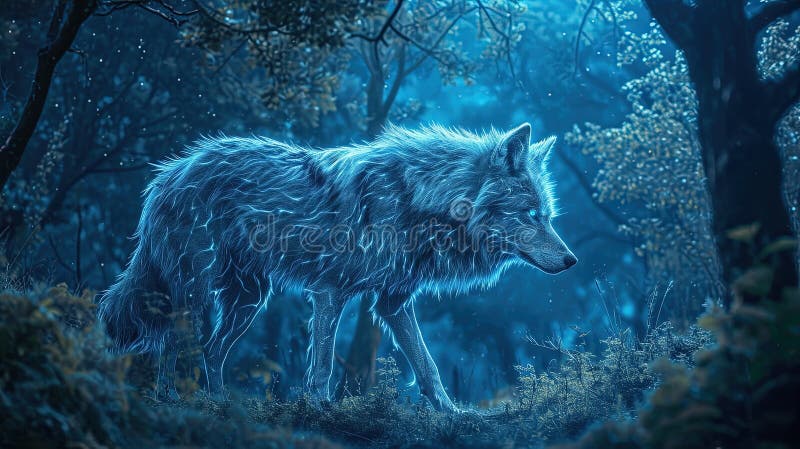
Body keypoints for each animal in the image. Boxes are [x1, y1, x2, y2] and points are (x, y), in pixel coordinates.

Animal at [97, 122, 576, 412]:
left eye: (550, 216)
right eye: (531, 215)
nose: (572, 260)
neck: (420, 199)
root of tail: (166, 174)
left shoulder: (393, 303)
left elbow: (428, 367)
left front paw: (455, 414)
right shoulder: (330, 290)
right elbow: (323, 365)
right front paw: (318, 409)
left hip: (249, 299)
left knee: (212, 351)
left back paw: (220, 406)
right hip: (197, 296)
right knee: (173, 347)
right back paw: (172, 400)